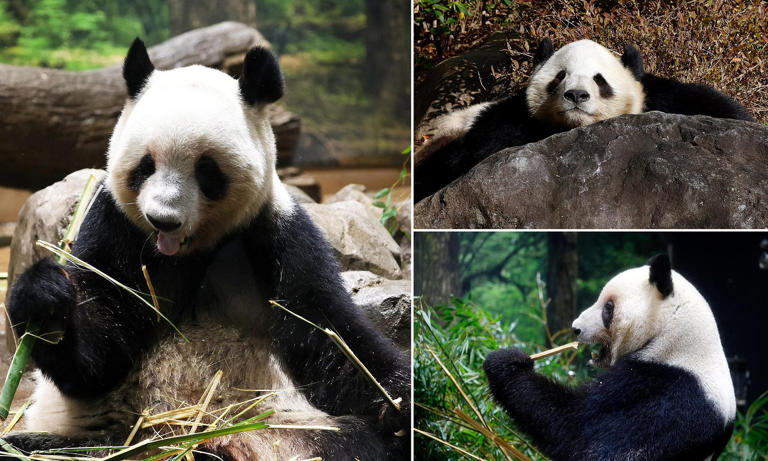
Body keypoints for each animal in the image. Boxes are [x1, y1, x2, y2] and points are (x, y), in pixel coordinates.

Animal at [2, 39, 410, 459]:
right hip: (113, 436)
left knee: (349, 441)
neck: (188, 254)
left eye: (206, 169)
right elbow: (99, 355)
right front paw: (44, 299)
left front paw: (400, 406)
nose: (162, 220)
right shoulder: (115, 228)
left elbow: (328, 334)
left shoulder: (275, 235)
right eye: (145, 165)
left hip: (290, 430)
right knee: (45, 448)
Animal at [414, 38, 754, 203]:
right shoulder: (509, 119)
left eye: (599, 79)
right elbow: (485, 148)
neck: (575, 128)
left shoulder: (660, 98)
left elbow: (715, 107)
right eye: (560, 76)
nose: (576, 95)